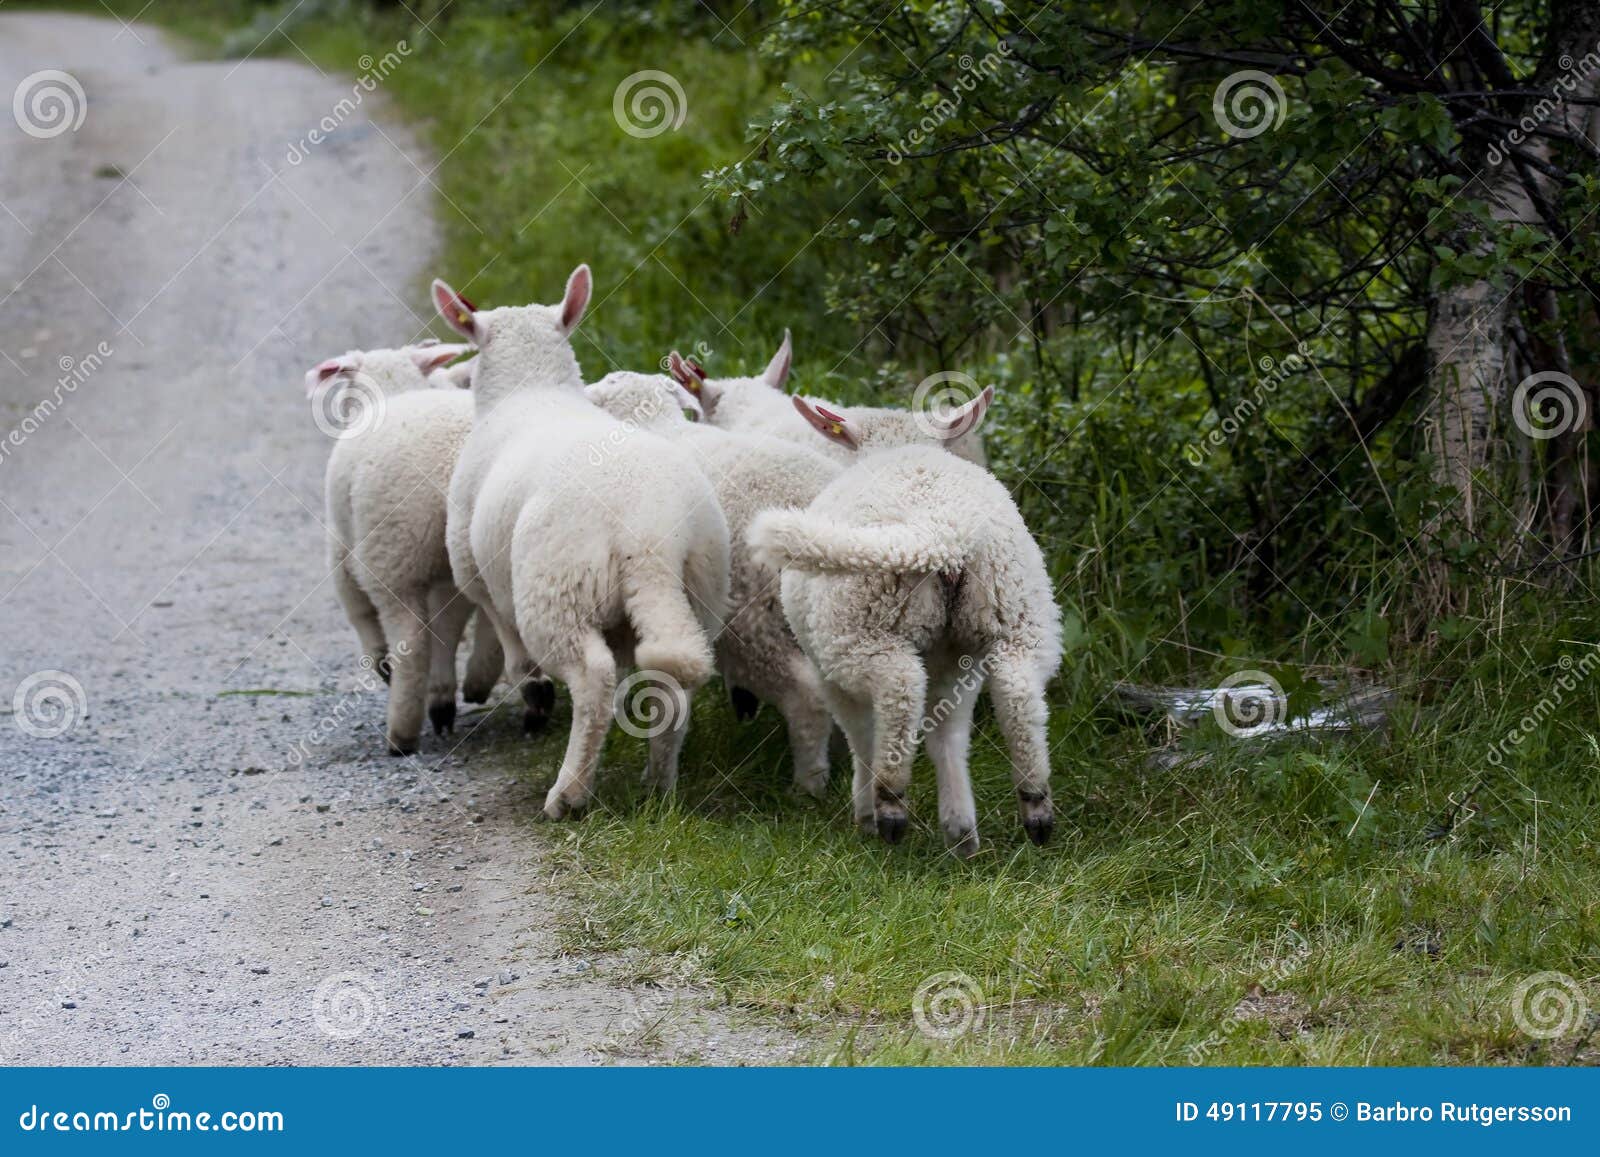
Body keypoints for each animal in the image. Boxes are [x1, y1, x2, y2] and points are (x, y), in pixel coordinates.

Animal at [310, 342, 504, 756]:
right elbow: (449, 626)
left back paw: (401, 732)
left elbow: (361, 616)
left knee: (412, 641)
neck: (390, 391)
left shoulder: (343, 559)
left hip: (392, 553)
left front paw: (382, 666)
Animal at [435, 268, 730, 818]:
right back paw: (658, 785)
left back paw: (568, 795)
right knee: (672, 683)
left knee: (593, 677)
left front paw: (533, 695)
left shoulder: (482, 579)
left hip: (558, 586)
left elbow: (514, 652)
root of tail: (649, 531)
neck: (531, 390)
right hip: (701, 587)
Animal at [747, 388, 1061, 856]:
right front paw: (960, 828)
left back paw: (890, 802)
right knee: (1018, 696)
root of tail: (939, 530)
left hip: (859, 630)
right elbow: (949, 732)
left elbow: (859, 733)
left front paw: (864, 814)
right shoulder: (955, 658)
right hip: (1017, 612)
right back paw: (1034, 807)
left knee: (898, 690)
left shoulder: (827, 673)